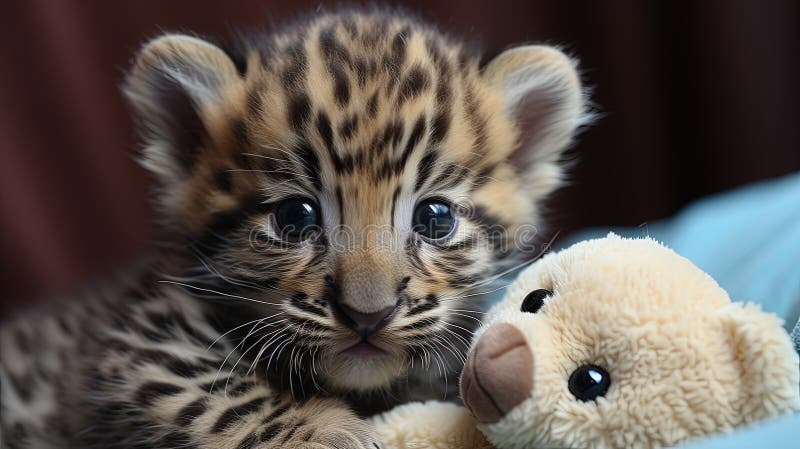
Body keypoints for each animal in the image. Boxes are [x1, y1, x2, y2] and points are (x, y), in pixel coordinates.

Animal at [0, 6, 589, 449]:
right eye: (295, 217)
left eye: (435, 218)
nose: (367, 315)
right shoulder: (138, 338)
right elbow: (210, 391)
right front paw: (327, 433)